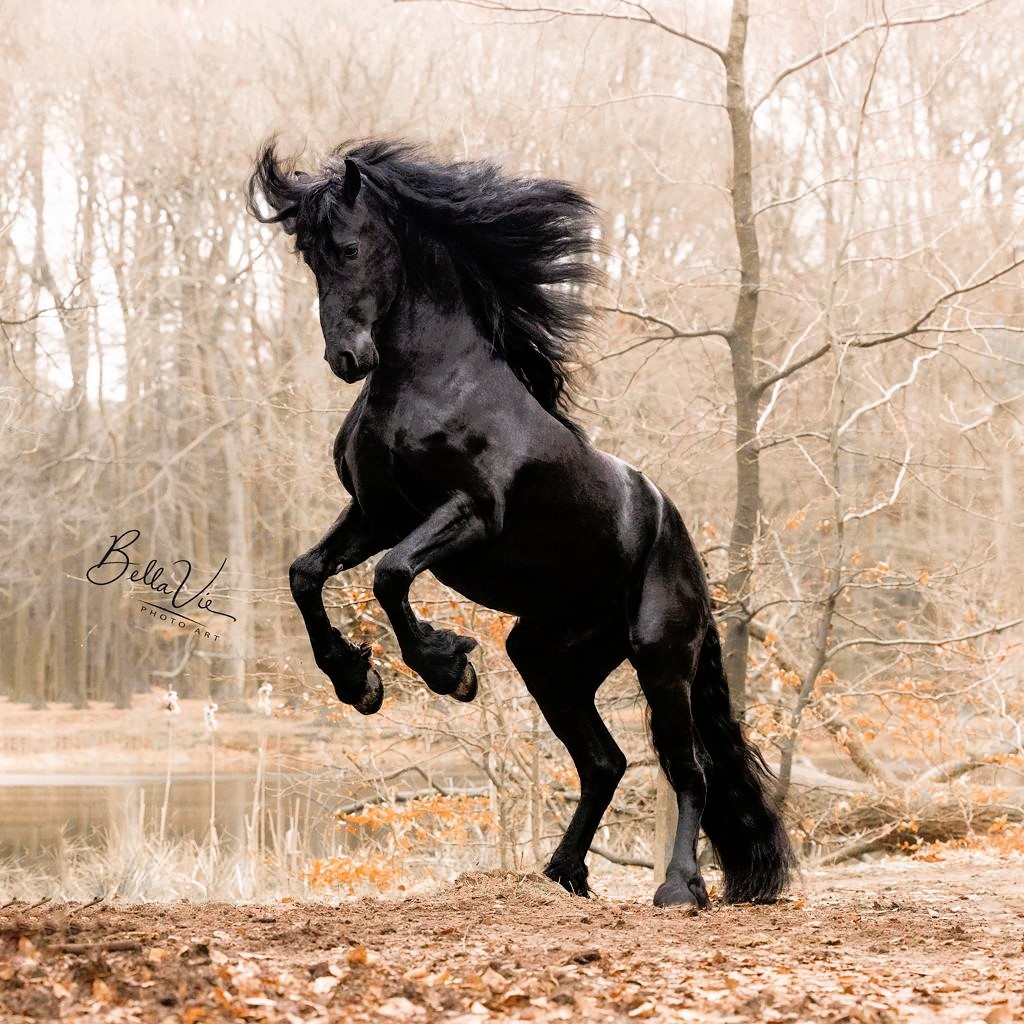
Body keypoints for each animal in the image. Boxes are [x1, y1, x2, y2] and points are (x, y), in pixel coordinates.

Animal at [246, 139, 794, 908]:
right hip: (549, 658)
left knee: (687, 767)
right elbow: (306, 574)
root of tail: (683, 543)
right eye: (309, 259)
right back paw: (564, 873)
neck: (431, 382)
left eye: (350, 248)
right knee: (604, 762)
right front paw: (358, 682)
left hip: (661, 655)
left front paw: (447, 668)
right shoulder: (377, 514)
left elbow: (390, 576)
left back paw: (679, 888)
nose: (348, 359)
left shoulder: (469, 513)